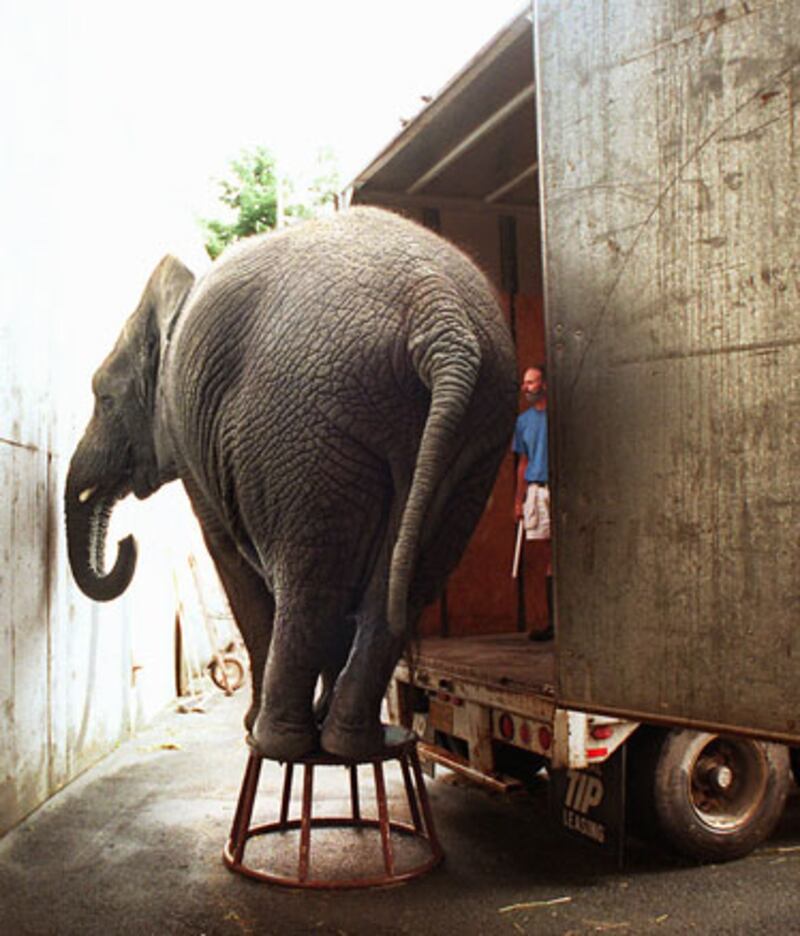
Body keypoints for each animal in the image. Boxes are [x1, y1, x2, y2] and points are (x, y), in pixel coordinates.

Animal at [65, 206, 517, 761]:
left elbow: (229, 555)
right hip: (473, 432)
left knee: (310, 583)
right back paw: (352, 742)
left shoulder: (186, 432)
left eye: (103, 398)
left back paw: (275, 740)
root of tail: (440, 312)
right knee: (399, 584)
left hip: (303, 424)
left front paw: (257, 725)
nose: (128, 542)